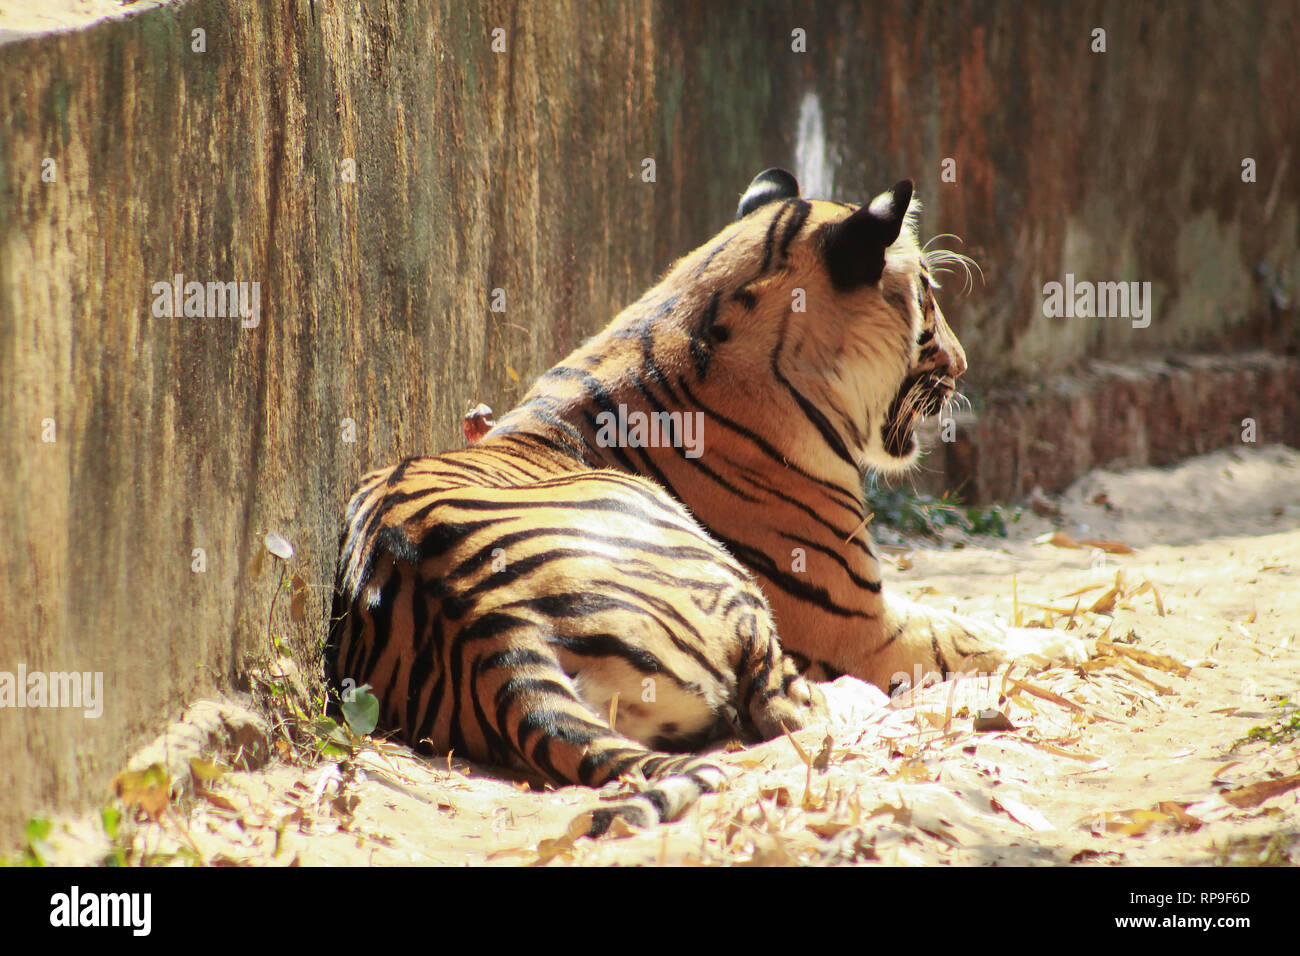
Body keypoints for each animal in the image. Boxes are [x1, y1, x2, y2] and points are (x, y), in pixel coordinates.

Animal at [325, 168, 1083, 836]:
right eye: (926, 292)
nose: (961, 364)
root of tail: (489, 624)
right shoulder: (862, 623)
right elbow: (975, 632)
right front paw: (1073, 639)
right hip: (734, 591)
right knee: (795, 710)